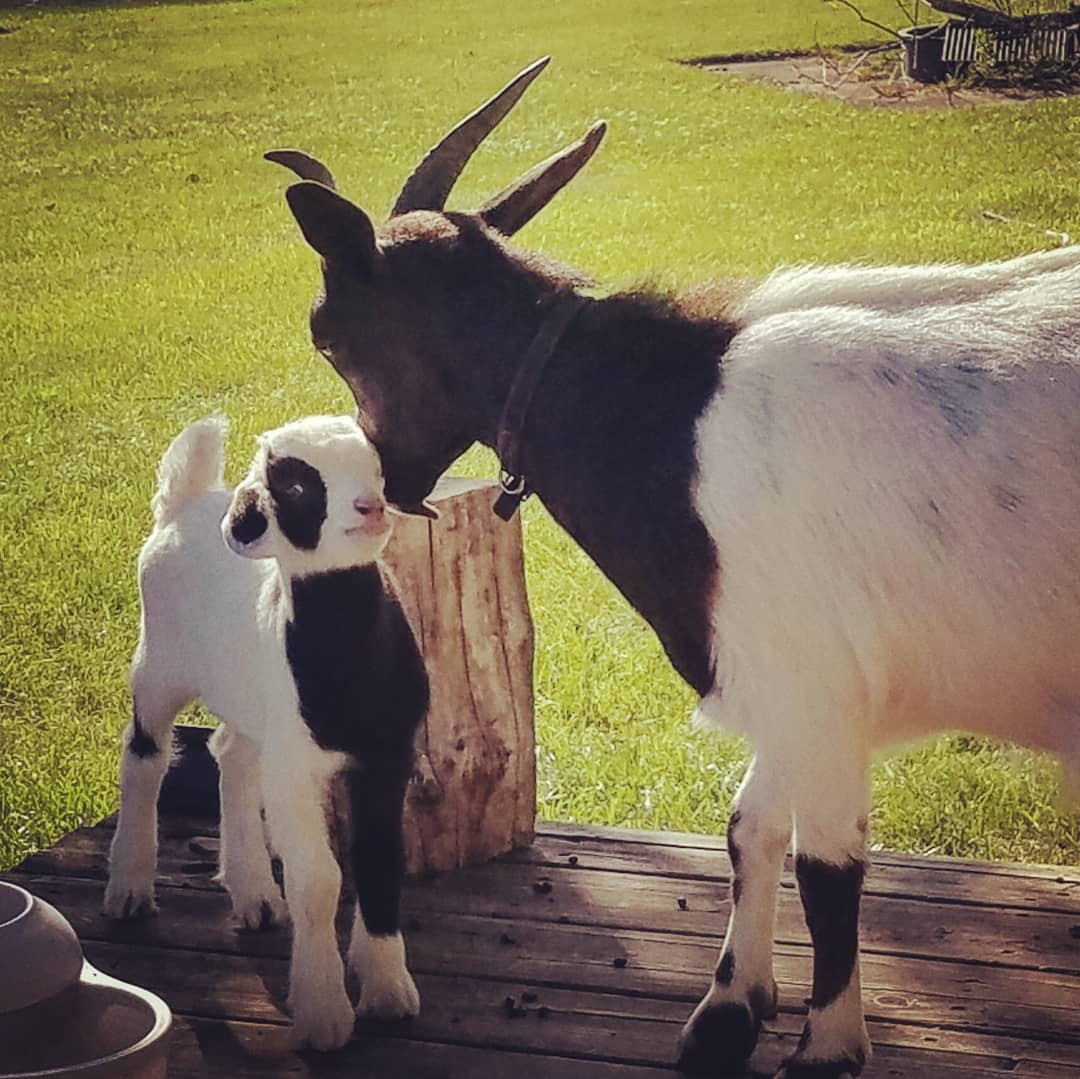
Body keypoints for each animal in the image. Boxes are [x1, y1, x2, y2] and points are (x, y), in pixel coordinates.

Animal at [104, 414, 428, 1050]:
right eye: (296, 486)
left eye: (376, 466)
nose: (371, 506)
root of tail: (189, 500)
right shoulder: (293, 772)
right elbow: (320, 880)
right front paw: (325, 1012)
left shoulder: (386, 757)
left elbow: (378, 860)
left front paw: (387, 991)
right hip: (158, 665)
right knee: (144, 757)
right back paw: (129, 887)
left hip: (250, 701)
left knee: (228, 752)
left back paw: (253, 891)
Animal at [264, 59, 1080, 1078]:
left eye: (328, 334)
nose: (390, 486)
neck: (679, 421)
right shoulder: (778, 683)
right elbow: (748, 825)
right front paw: (730, 1009)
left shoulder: (820, 686)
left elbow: (830, 868)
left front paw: (825, 1047)